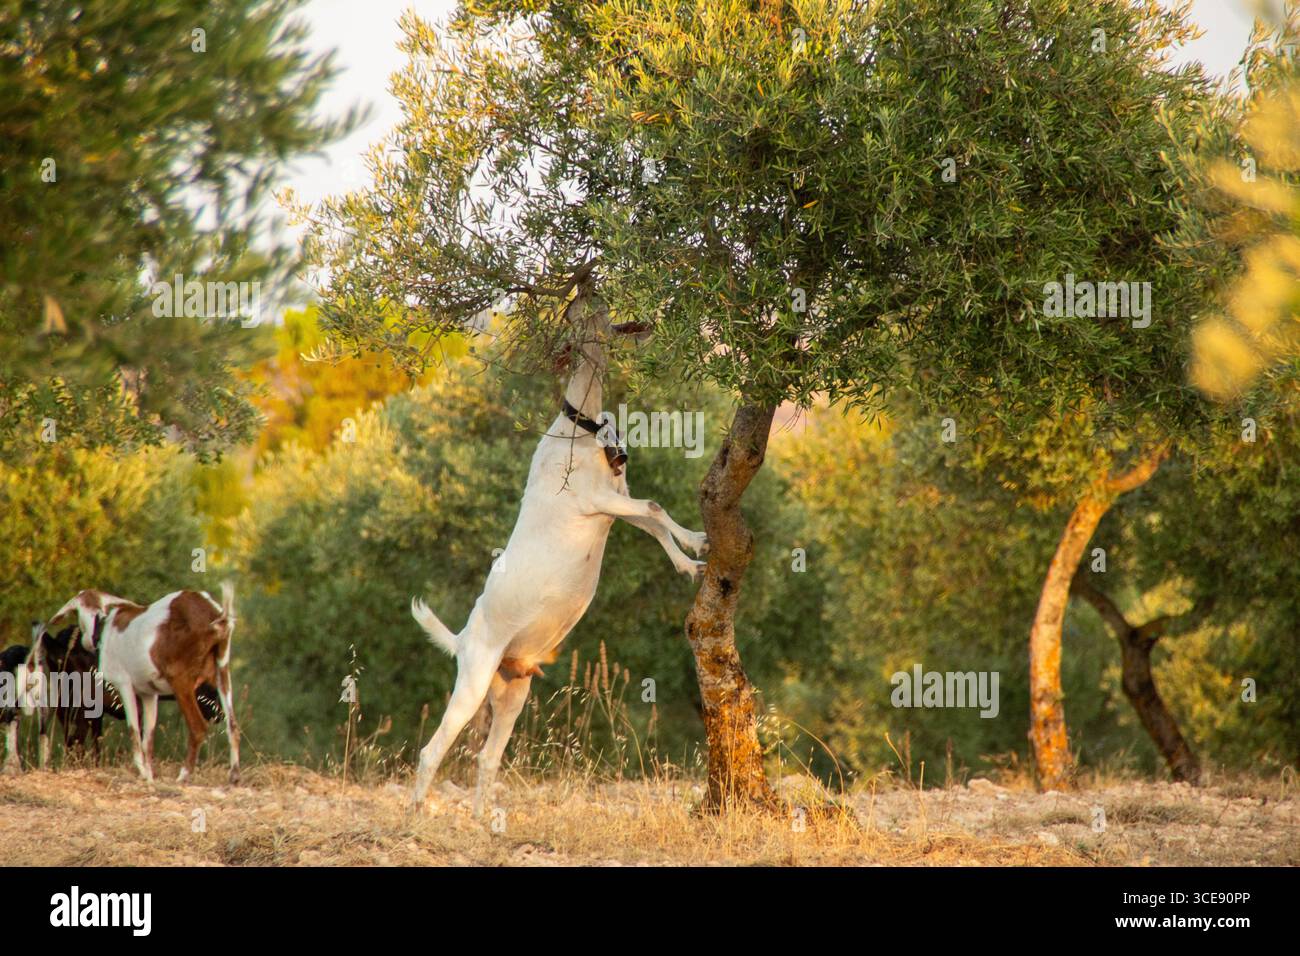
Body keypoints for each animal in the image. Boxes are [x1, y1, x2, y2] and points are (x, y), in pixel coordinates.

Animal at [410, 280, 707, 817]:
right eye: (577, 317)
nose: (586, 287)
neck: (581, 428)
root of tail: (462, 639)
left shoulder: (613, 503)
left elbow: (652, 521)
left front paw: (692, 556)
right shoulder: (595, 502)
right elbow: (654, 510)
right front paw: (697, 552)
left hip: (512, 688)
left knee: (488, 757)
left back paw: (482, 819)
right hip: (474, 679)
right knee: (433, 748)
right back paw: (418, 812)